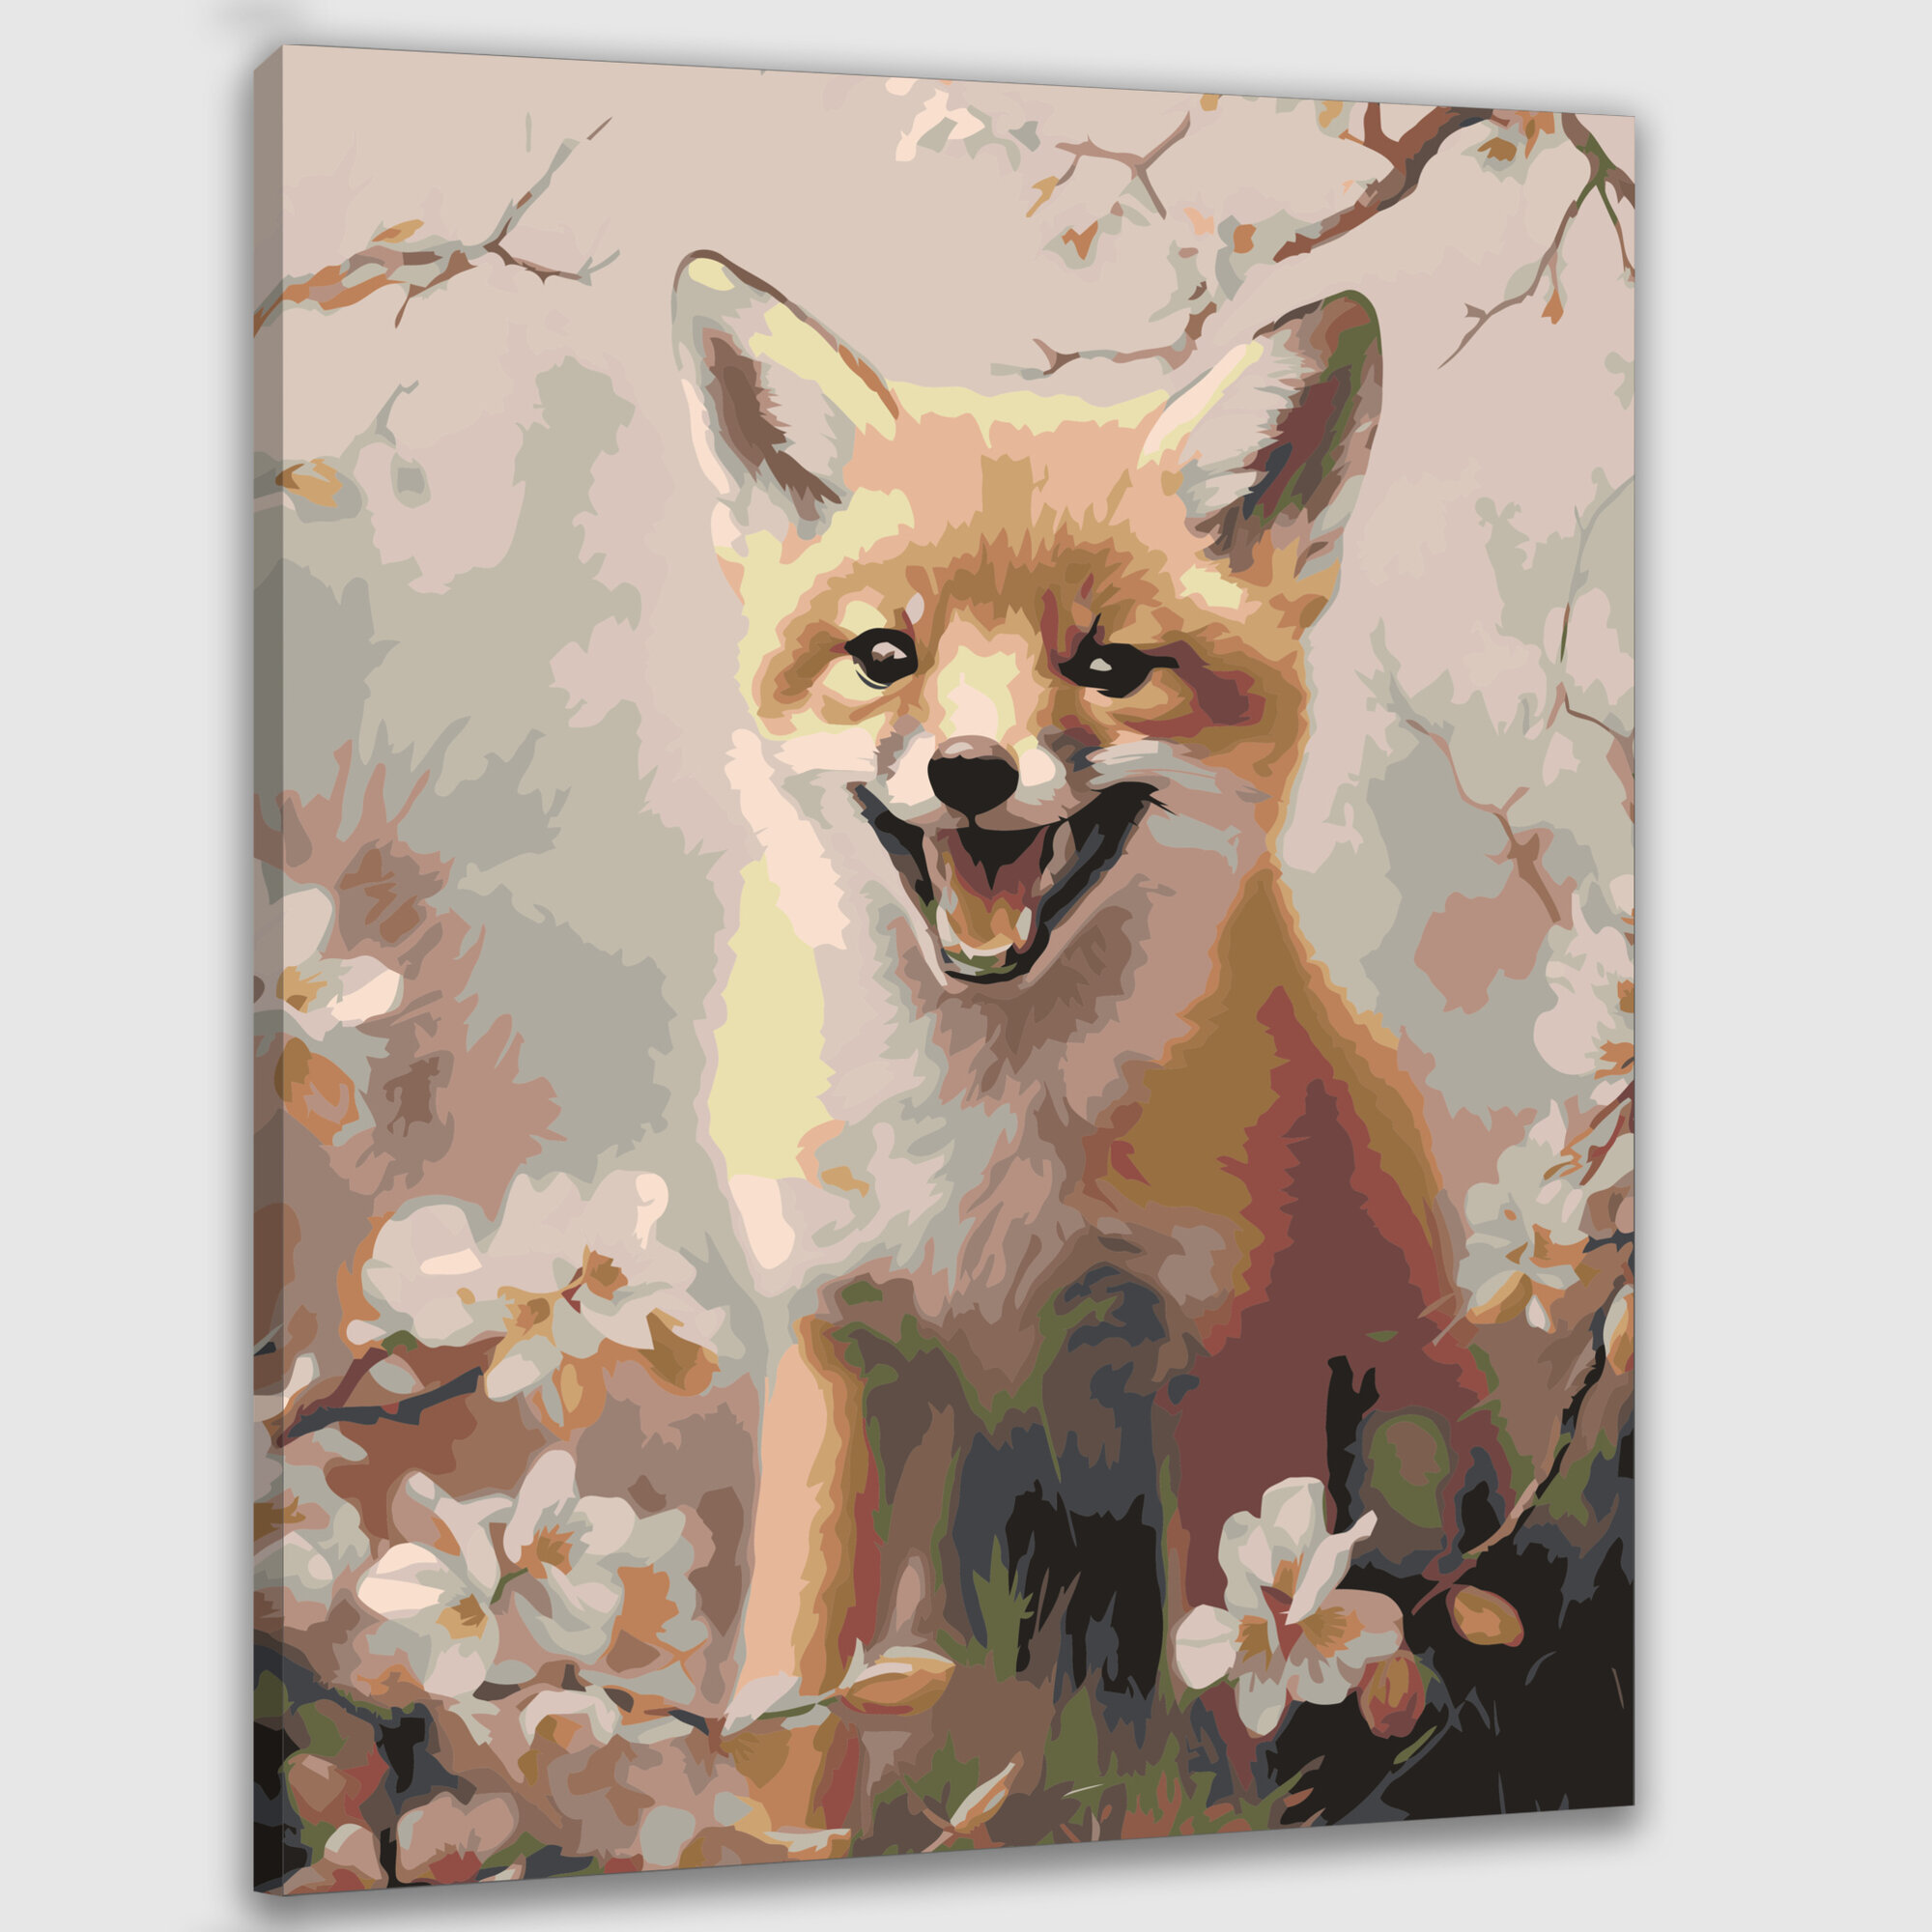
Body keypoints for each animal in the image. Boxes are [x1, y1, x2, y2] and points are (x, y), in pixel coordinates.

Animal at [670, 251, 1503, 1842]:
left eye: (1109, 665)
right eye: (885, 656)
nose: (970, 772)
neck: (985, 1129)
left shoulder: (1214, 1352)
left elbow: (1225, 1708)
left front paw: (1203, 1825)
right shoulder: (834, 1340)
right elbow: (789, 1689)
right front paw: (767, 1843)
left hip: (1408, 1462)